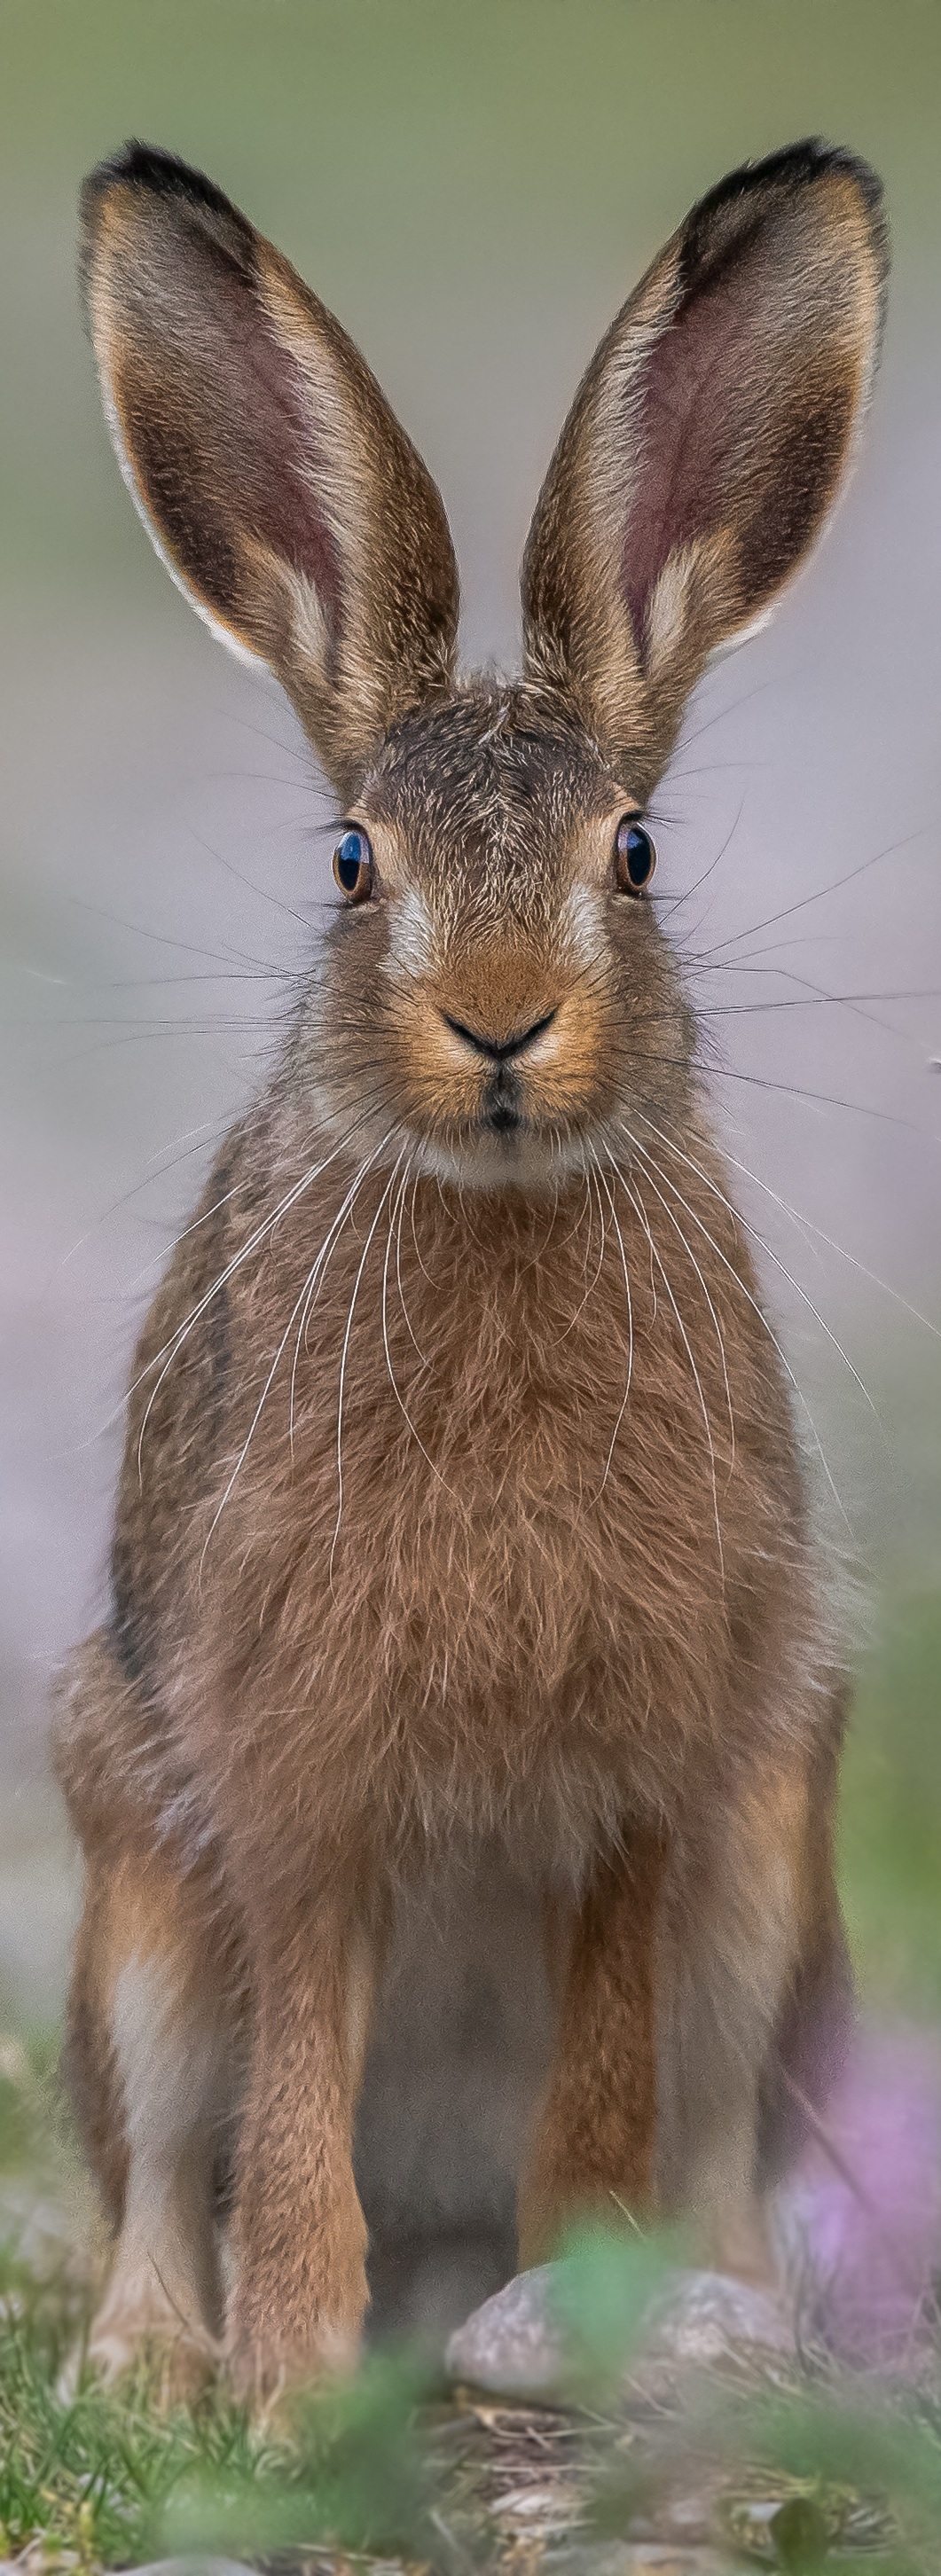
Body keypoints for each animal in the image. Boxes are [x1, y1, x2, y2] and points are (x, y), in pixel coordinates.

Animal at [57, 135, 888, 2405]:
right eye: (354, 863)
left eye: (636, 858)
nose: (500, 1024)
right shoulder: (289, 1786)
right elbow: (287, 2104)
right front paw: (281, 2384)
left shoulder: (647, 1792)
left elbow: (596, 2095)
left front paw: (579, 2316)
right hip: (125, 1866)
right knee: (154, 2149)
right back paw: (151, 2363)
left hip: (769, 1873)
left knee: (715, 2135)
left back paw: (720, 2321)